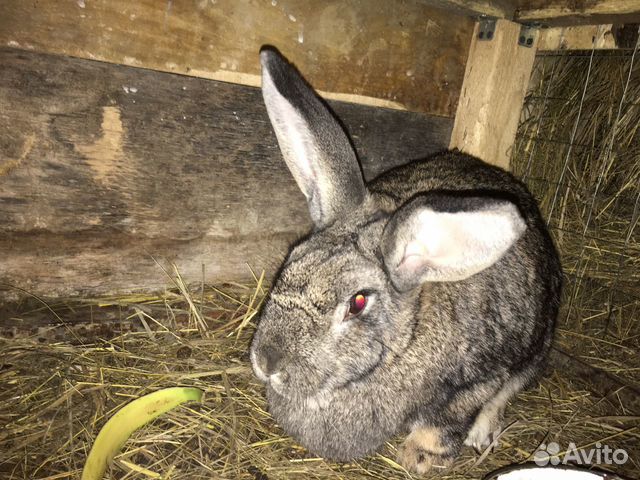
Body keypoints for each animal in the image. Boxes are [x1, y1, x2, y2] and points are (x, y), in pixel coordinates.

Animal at [250, 47, 562, 475]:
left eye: (357, 303)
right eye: (289, 263)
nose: (267, 362)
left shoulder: (475, 383)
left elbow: (446, 422)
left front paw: (419, 458)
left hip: (535, 348)